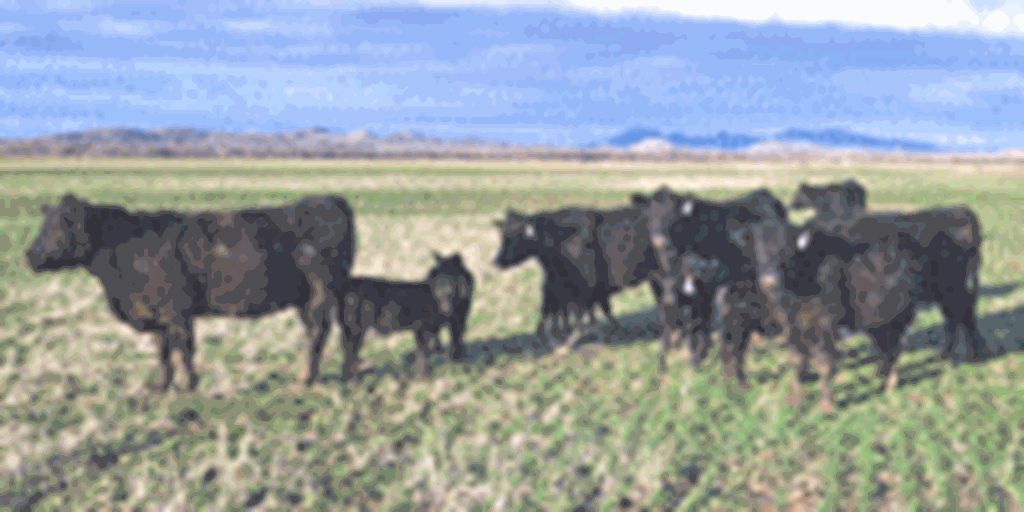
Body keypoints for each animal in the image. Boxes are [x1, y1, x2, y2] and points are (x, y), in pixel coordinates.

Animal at [24, 194, 356, 392]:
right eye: (43, 224)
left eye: (59, 227)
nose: (29, 255)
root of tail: (329, 199)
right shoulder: (154, 314)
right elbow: (162, 352)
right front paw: (162, 386)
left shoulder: (176, 311)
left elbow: (183, 349)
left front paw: (189, 386)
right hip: (307, 298)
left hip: (320, 293)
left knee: (318, 331)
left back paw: (304, 380)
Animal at [335, 251, 474, 379]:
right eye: (436, 276)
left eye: (449, 279)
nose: (442, 290)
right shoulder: (423, 327)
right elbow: (424, 352)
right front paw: (424, 377)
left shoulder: (440, 325)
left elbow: (441, 346)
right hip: (355, 328)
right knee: (351, 355)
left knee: (348, 354)